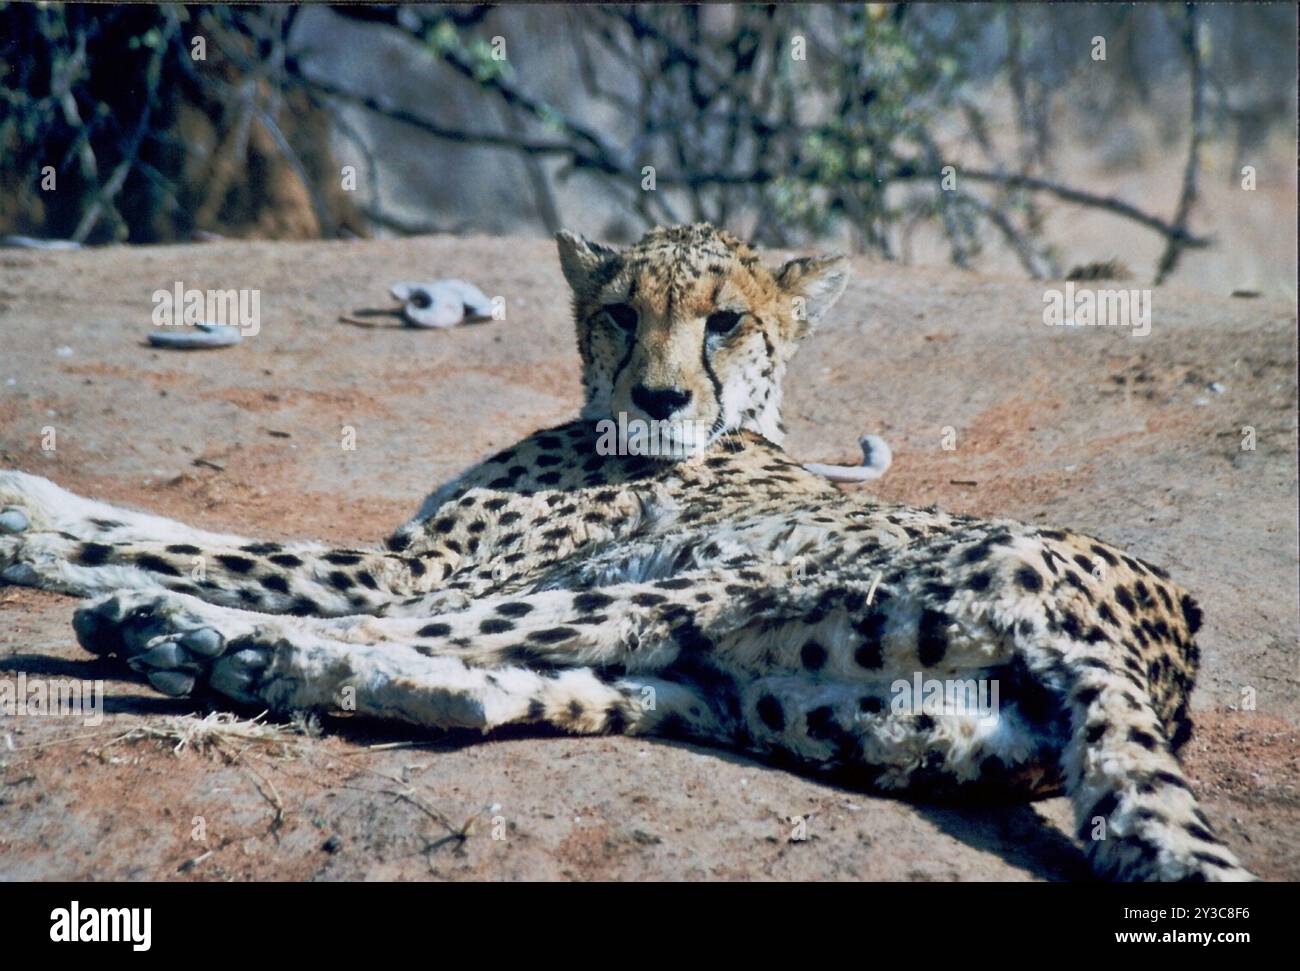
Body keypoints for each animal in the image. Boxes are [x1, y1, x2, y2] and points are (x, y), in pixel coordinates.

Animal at [0, 222, 1253, 881]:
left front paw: (44, 538)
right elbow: (174, 527)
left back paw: (172, 631)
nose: (658, 396)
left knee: (389, 634)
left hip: (696, 590)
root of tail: (1165, 647)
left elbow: (204, 543)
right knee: (481, 690)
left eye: (724, 319)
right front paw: (25, 503)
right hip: (728, 690)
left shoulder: (411, 566)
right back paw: (218, 658)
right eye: (617, 311)